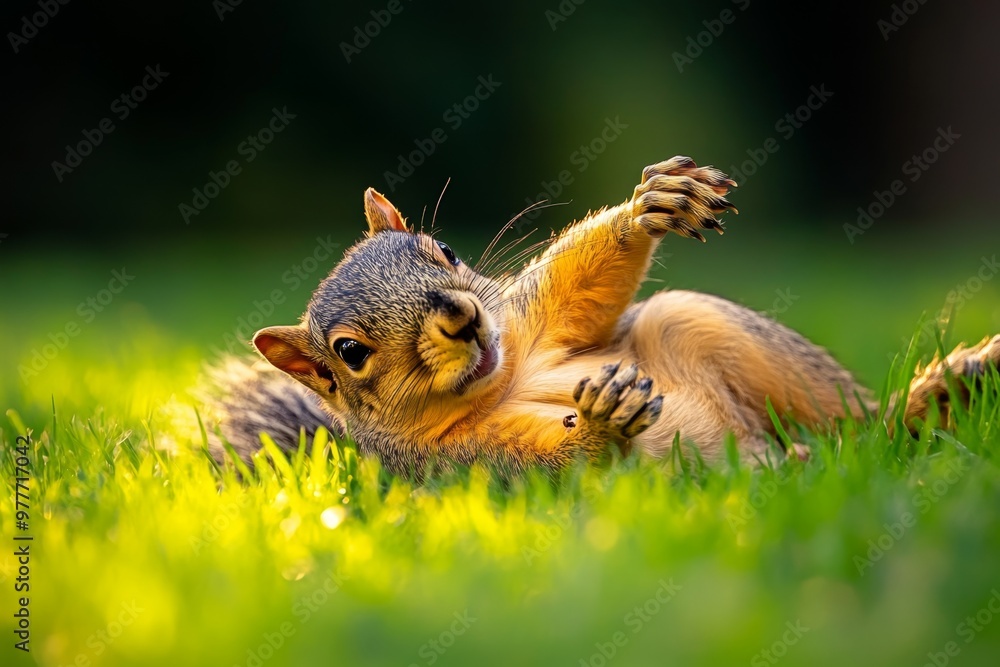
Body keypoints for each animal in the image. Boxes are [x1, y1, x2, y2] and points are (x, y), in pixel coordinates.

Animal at [208, 156, 1000, 475]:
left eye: (444, 248)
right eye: (350, 352)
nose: (462, 318)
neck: (502, 377)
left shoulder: (530, 329)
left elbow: (577, 293)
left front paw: (654, 204)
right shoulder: (465, 468)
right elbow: (559, 467)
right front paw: (600, 422)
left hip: (699, 321)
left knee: (862, 429)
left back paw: (939, 393)